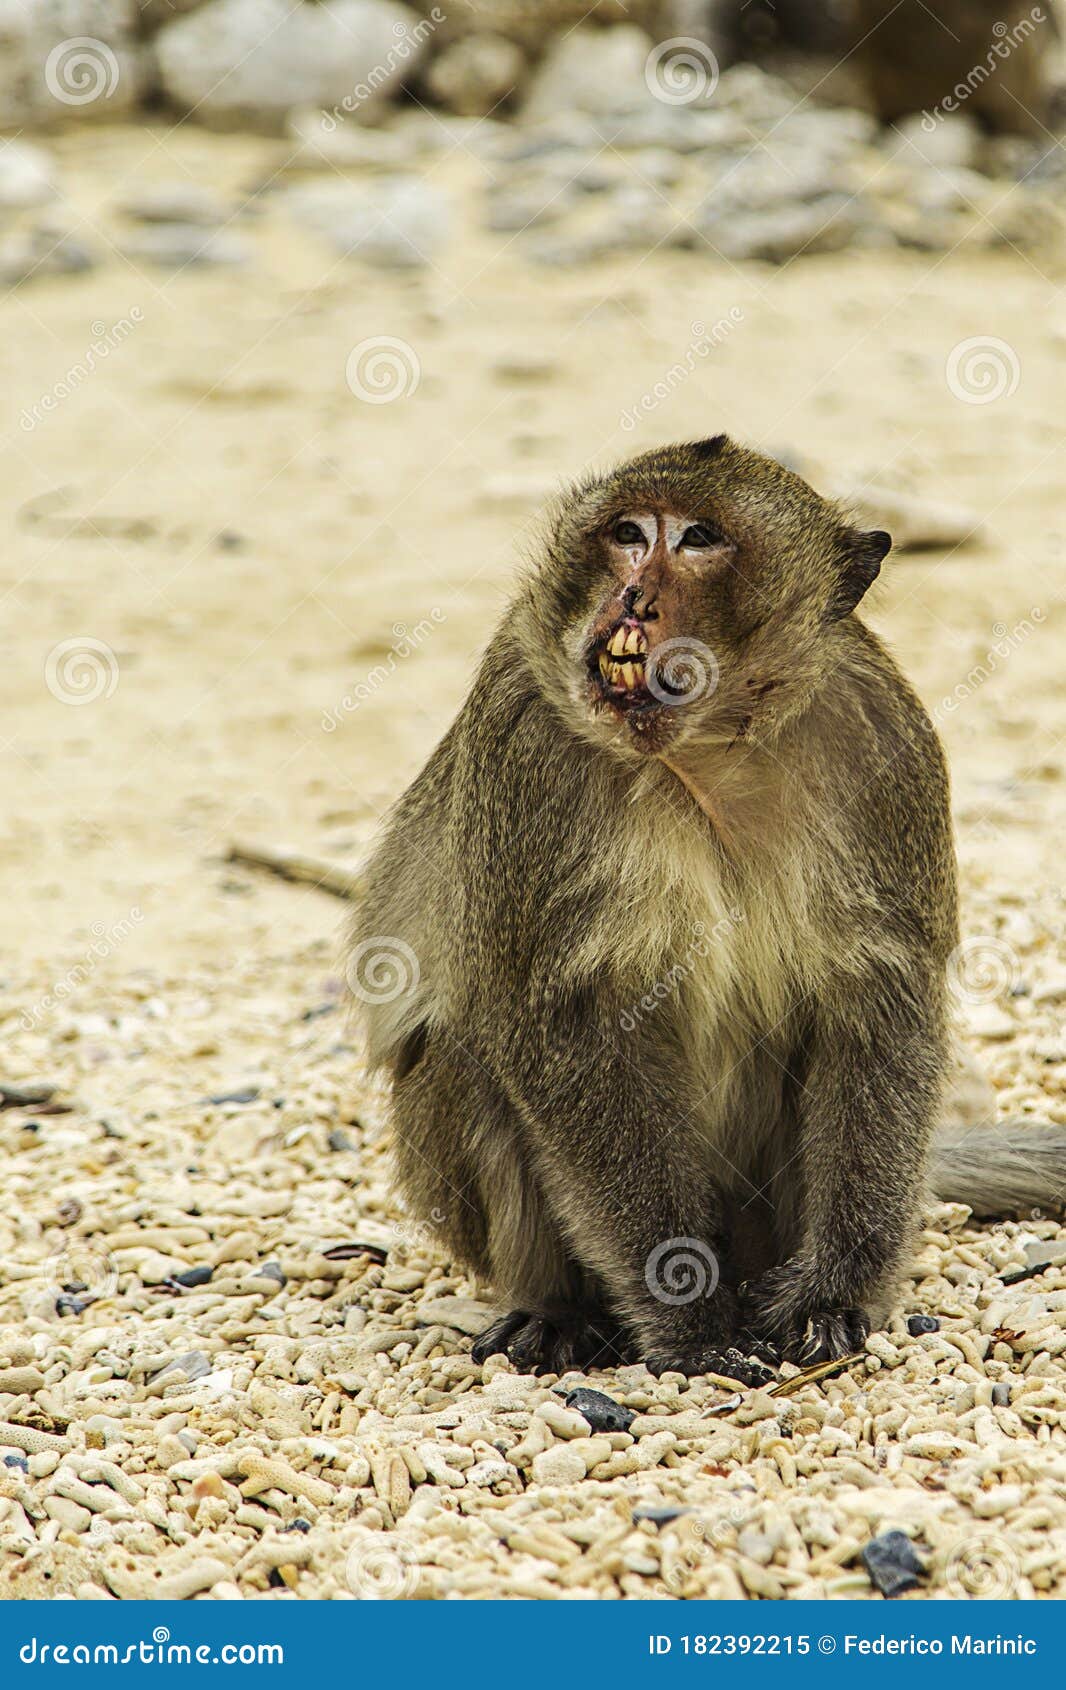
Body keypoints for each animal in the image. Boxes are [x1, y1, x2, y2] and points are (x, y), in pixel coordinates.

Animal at [351, 435, 1066, 1378]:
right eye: (627, 533)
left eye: (697, 539)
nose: (635, 597)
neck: (710, 749)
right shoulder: (524, 740)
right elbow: (561, 1029)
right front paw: (692, 1319)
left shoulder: (887, 744)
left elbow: (879, 1013)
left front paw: (830, 1297)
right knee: (465, 1048)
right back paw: (563, 1311)